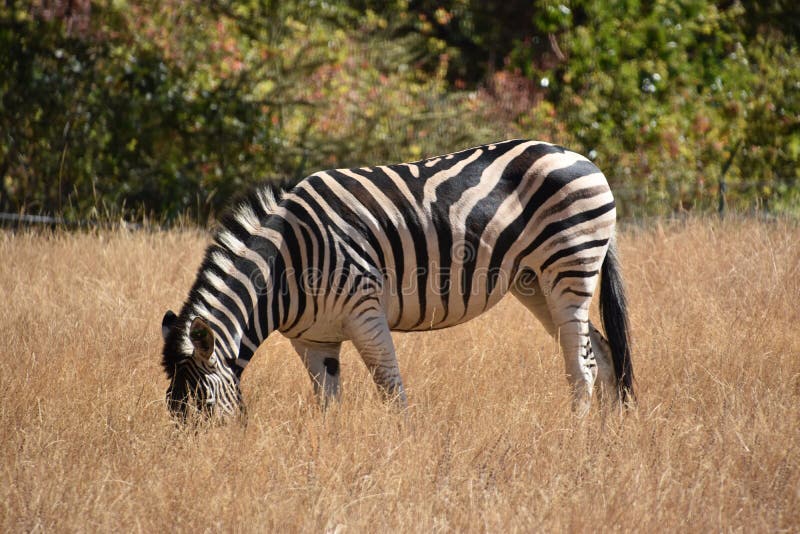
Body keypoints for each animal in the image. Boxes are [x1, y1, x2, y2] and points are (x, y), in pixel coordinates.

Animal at [161, 139, 634, 420]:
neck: (283, 266)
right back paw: (605, 436)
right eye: (172, 410)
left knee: (584, 363)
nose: (198, 465)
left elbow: (391, 390)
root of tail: (580, 156)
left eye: (203, 406)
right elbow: (327, 403)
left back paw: (575, 433)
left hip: (570, 265)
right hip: (534, 281)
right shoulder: (314, 339)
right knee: (604, 353)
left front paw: (400, 449)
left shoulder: (365, 313)